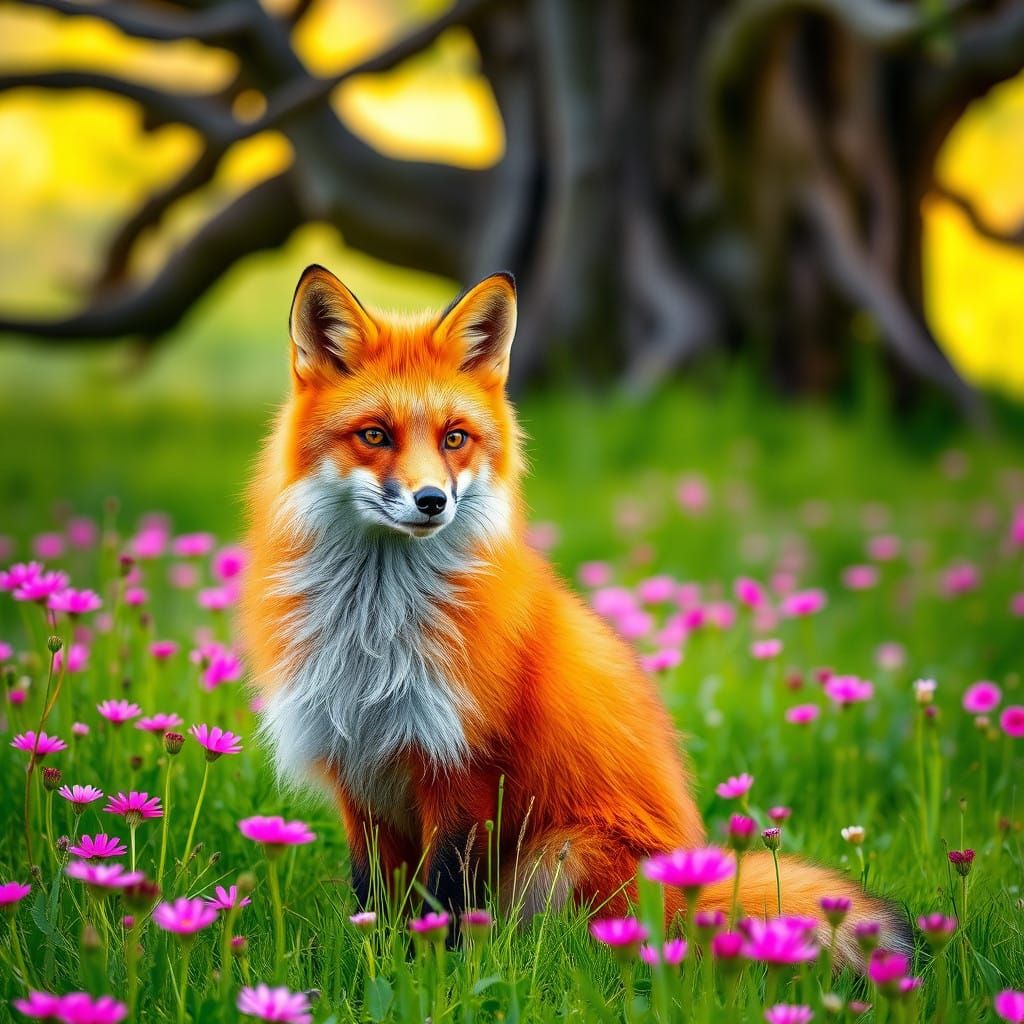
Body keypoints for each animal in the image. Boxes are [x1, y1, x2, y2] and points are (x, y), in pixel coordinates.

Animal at [241, 264, 911, 968]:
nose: (431, 501)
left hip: (564, 854)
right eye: (375, 434)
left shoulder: (461, 771)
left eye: (454, 438)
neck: (374, 639)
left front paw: (438, 974)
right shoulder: (359, 772)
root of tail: (694, 887)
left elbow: (445, 898)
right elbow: (373, 899)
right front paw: (379, 965)